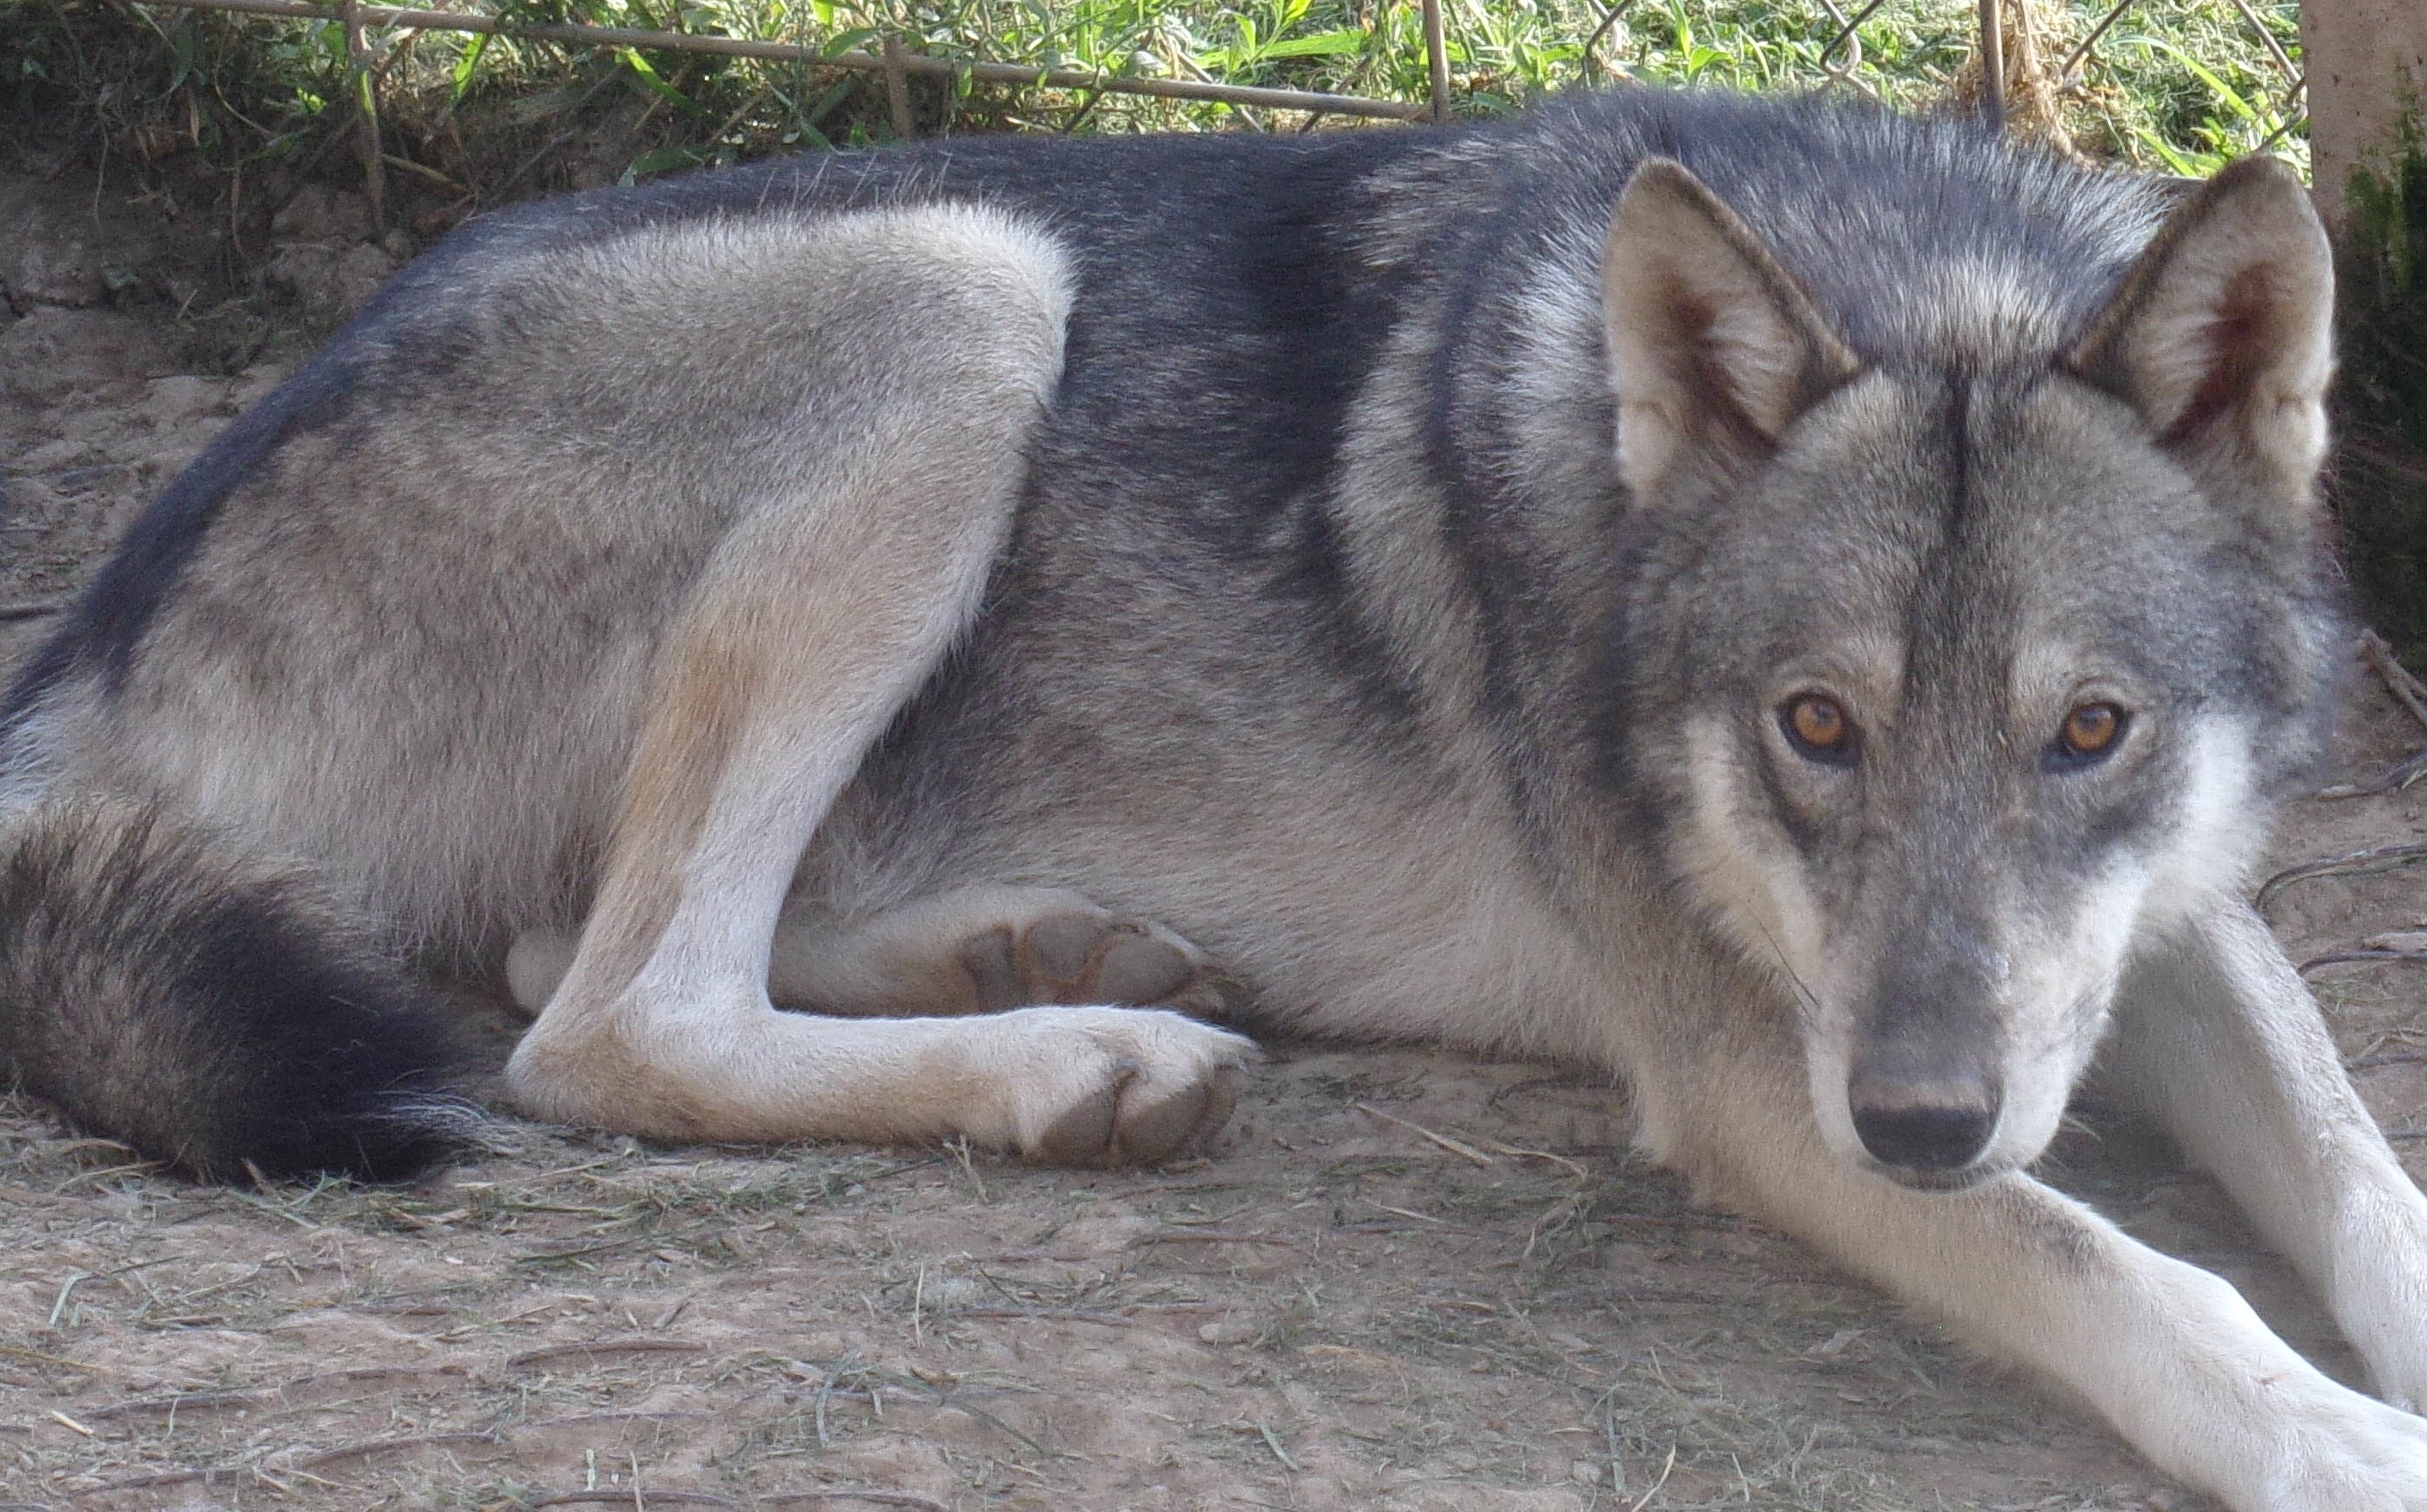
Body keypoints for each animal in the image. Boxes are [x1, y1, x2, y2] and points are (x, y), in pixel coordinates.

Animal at [0, 86, 2421, 1506]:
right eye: (1809, 729)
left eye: (2085, 733)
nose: (1918, 1124)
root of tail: (86, 628)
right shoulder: (1759, 1073)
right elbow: (2139, 1282)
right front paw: (2339, 1437)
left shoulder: (2141, 930)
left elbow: (2352, 1169)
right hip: (960, 285)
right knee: (599, 1018)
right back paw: (1079, 1054)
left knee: (560, 948)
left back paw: (1040, 951)